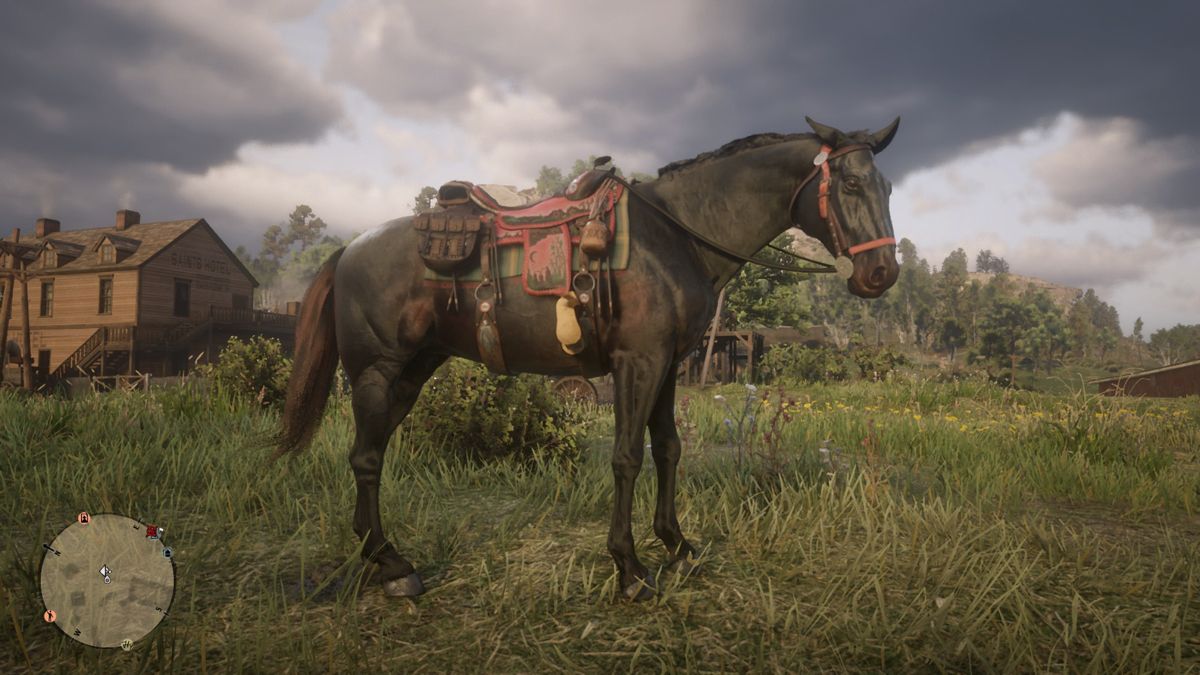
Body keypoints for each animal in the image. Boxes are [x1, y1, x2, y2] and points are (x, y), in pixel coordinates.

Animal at [275, 117, 902, 601]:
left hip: (410, 373)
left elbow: (668, 449)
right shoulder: (636, 361)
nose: (881, 273)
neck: (678, 236)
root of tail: (349, 249)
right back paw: (392, 567)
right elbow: (627, 457)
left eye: (889, 186)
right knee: (366, 460)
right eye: (849, 183)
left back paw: (387, 560)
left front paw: (677, 545)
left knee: (372, 454)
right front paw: (629, 568)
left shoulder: (667, 366)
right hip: (376, 373)